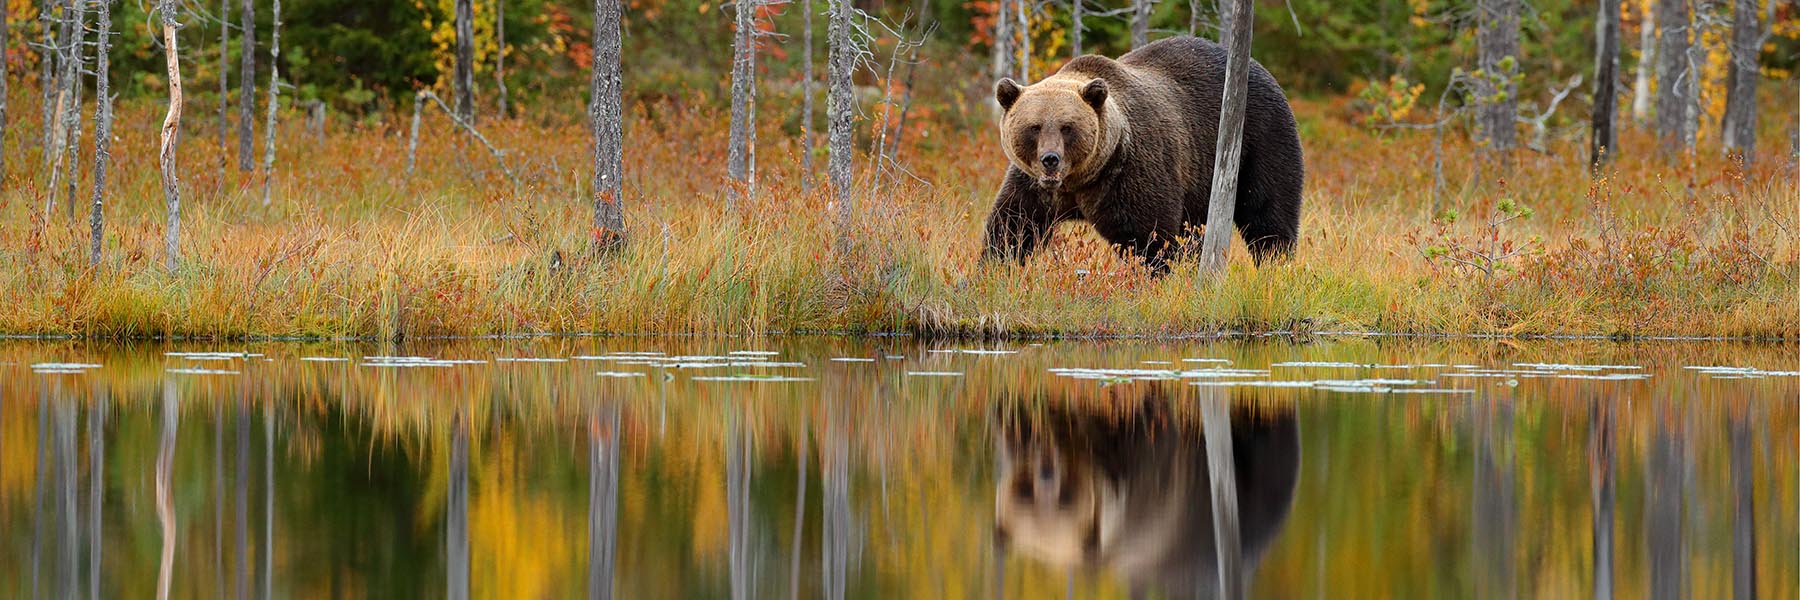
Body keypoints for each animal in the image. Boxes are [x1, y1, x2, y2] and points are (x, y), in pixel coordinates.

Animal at [983, 36, 1305, 274]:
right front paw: (995, 268)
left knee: (1268, 210)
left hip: (1261, 137)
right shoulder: (1033, 183)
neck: (1080, 180)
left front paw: (1154, 274)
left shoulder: (1129, 170)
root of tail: (1260, 68)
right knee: (1196, 231)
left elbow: (1147, 235)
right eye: (1034, 127)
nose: (1051, 159)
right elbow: (1013, 224)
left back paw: (1275, 262)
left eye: (1067, 127)